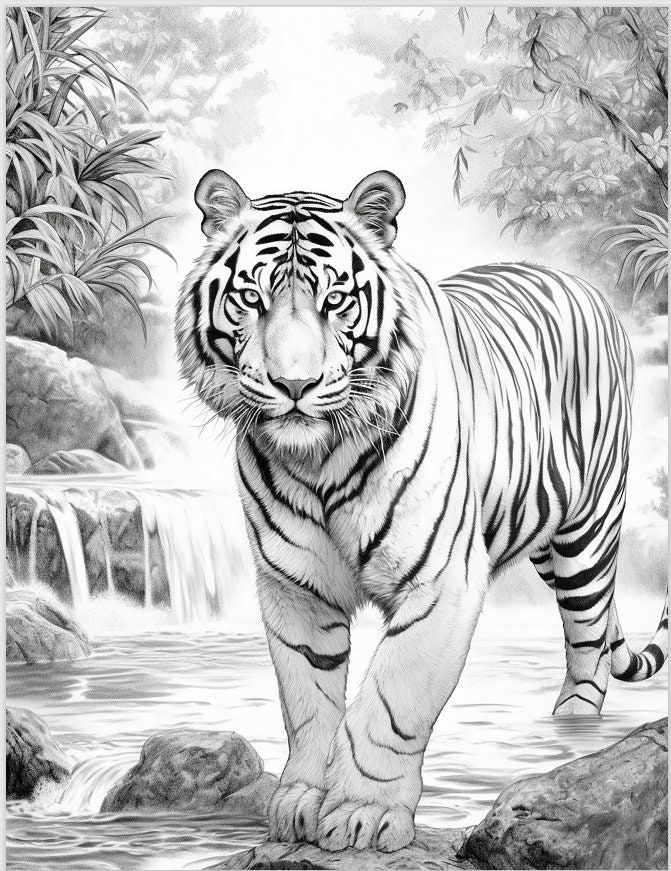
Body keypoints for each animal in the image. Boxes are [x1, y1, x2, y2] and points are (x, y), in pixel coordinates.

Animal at [175, 169, 668, 853]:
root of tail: (580, 284)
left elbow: (391, 700)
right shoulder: (294, 587)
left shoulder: (442, 580)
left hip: (586, 535)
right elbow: (308, 699)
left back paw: (571, 734)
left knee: (588, 640)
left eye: (335, 301)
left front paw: (364, 814)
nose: (294, 386)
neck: (319, 460)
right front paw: (299, 804)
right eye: (252, 299)